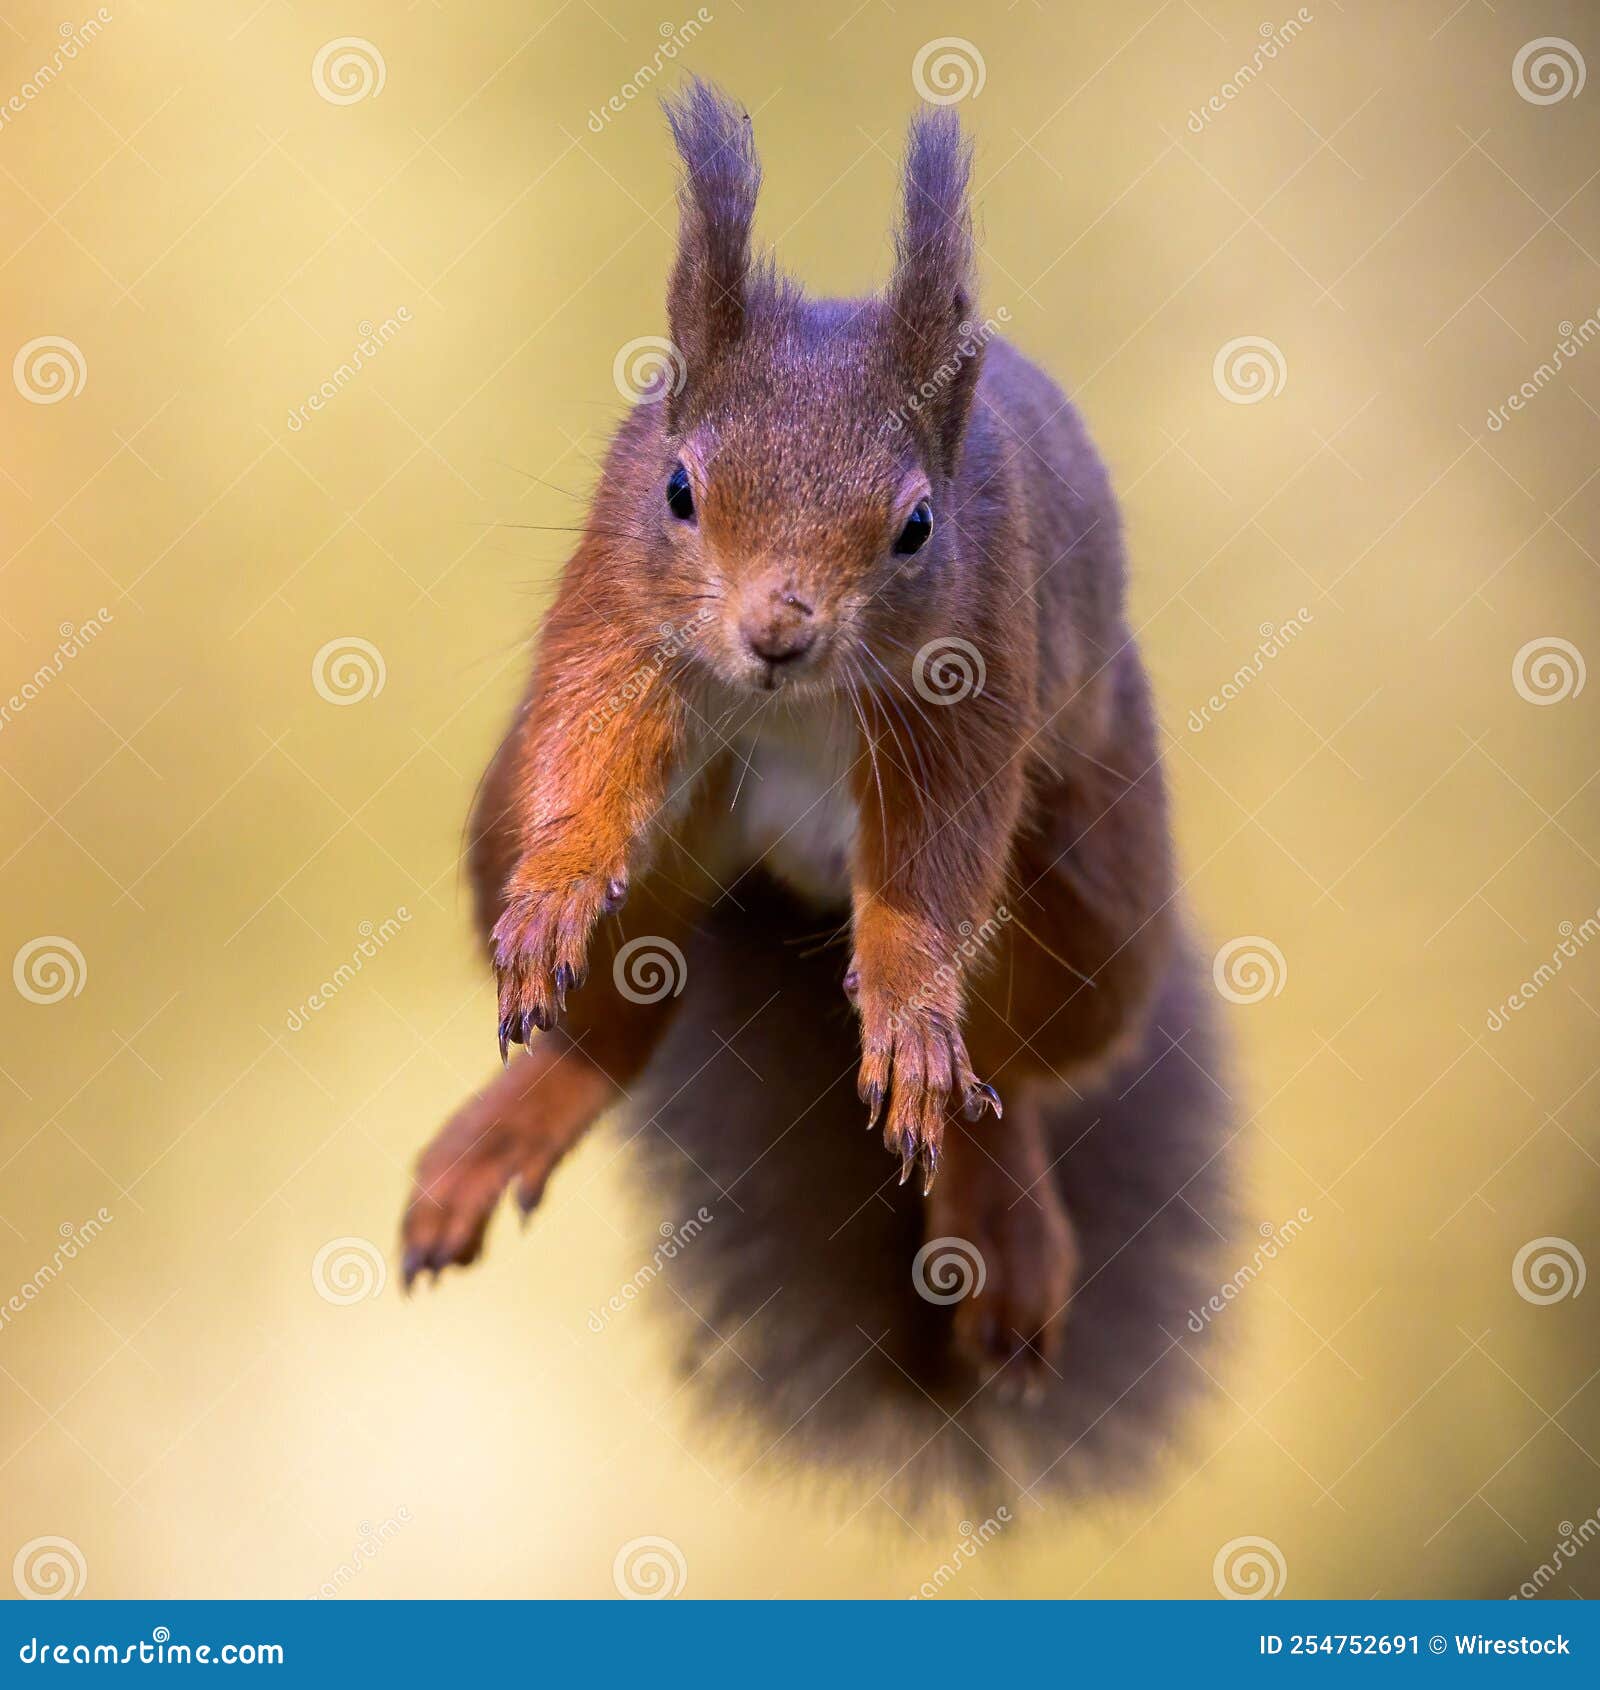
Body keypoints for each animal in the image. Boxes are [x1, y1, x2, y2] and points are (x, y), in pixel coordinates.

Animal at [401, 81, 1234, 1483]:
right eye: (680, 488)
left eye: (916, 527)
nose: (776, 631)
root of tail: (780, 874)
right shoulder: (618, 603)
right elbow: (589, 733)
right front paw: (560, 882)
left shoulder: (972, 668)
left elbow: (935, 861)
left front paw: (905, 1003)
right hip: (550, 831)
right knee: (615, 1027)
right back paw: (524, 1107)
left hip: (1096, 889)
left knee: (1015, 1065)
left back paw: (990, 1190)